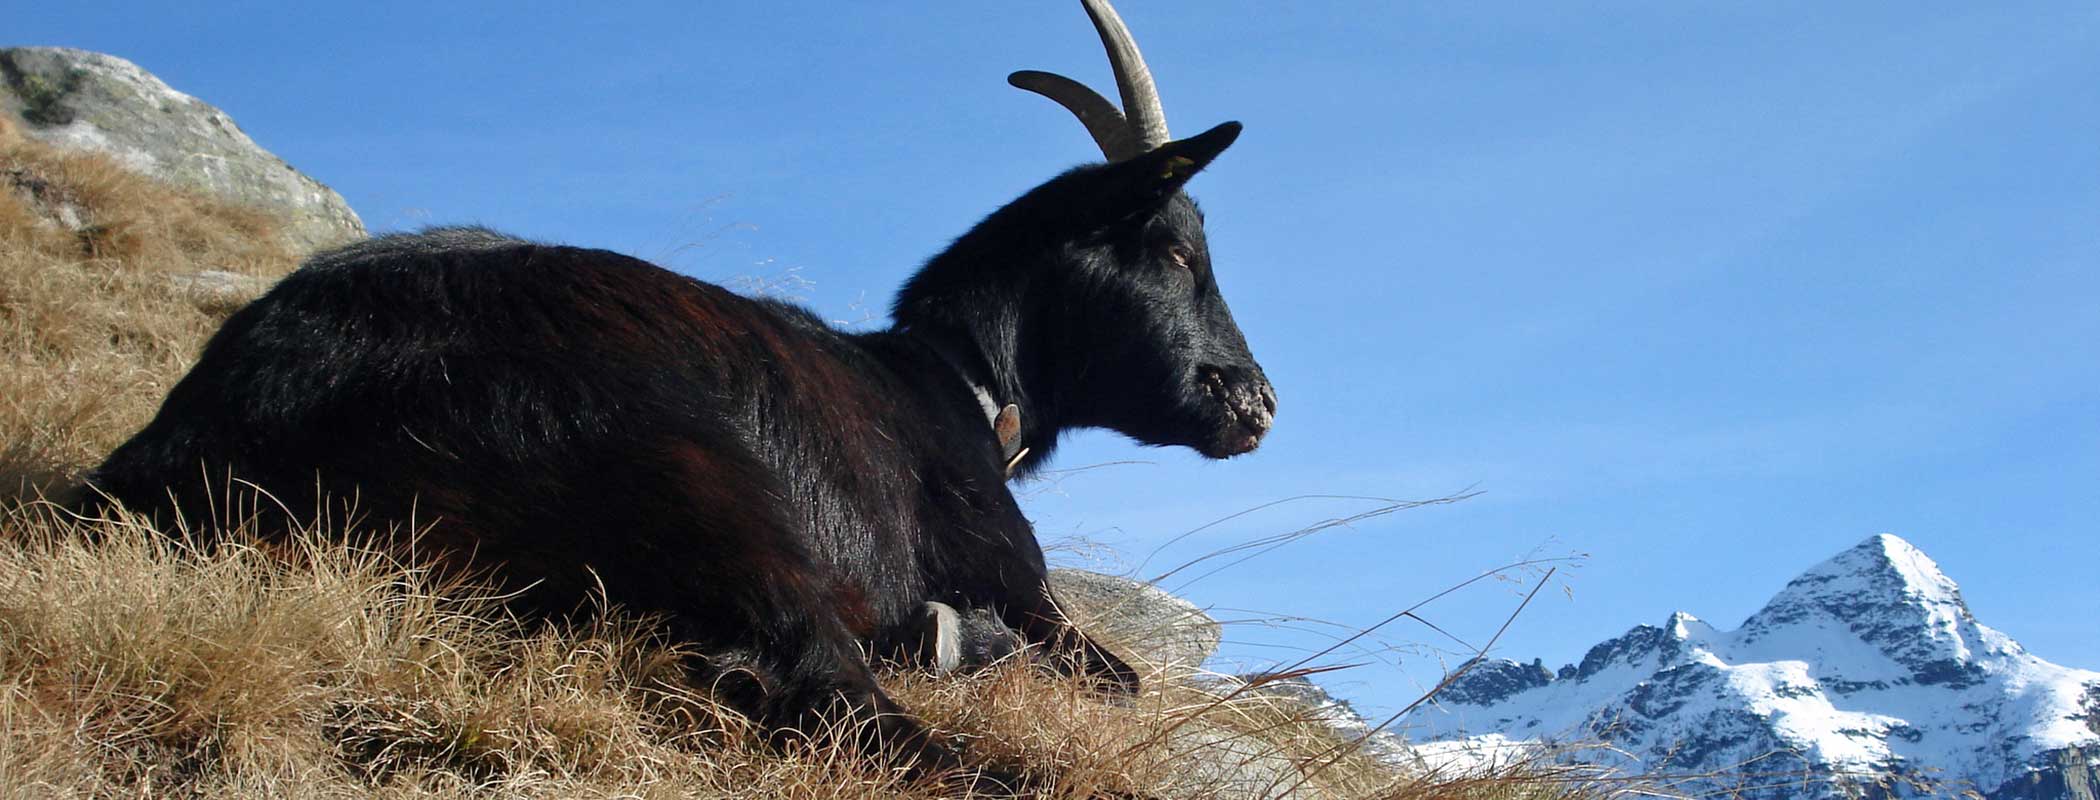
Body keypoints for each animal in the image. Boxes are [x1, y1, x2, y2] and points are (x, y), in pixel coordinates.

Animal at [82, 0, 1275, 786]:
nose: (1256, 400)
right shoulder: (1018, 582)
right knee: (831, 693)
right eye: (1177, 251)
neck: (961, 381)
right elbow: (1117, 676)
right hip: (701, 479)